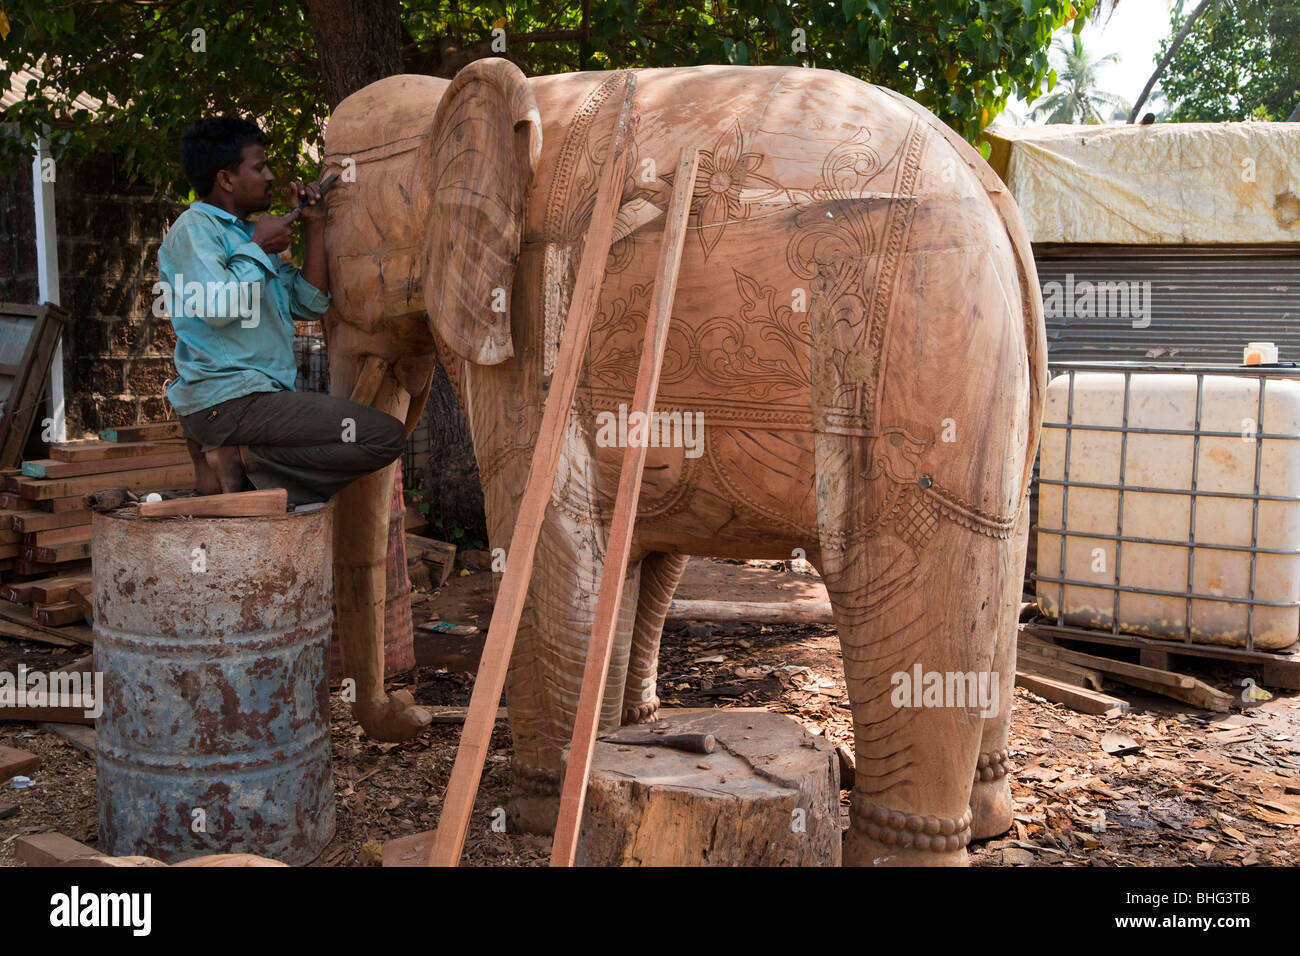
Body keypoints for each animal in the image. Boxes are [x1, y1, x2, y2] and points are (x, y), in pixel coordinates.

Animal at [321, 58, 1045, 866]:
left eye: (318, 204)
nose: (413, 716)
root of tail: (992, 192)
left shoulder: (533, 338)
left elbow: (545, 544)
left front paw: (542, 811)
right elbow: (637, 551)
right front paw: (624, 736)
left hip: (925, 361)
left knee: (924, 570)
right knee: (997, 568)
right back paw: (991, 819)